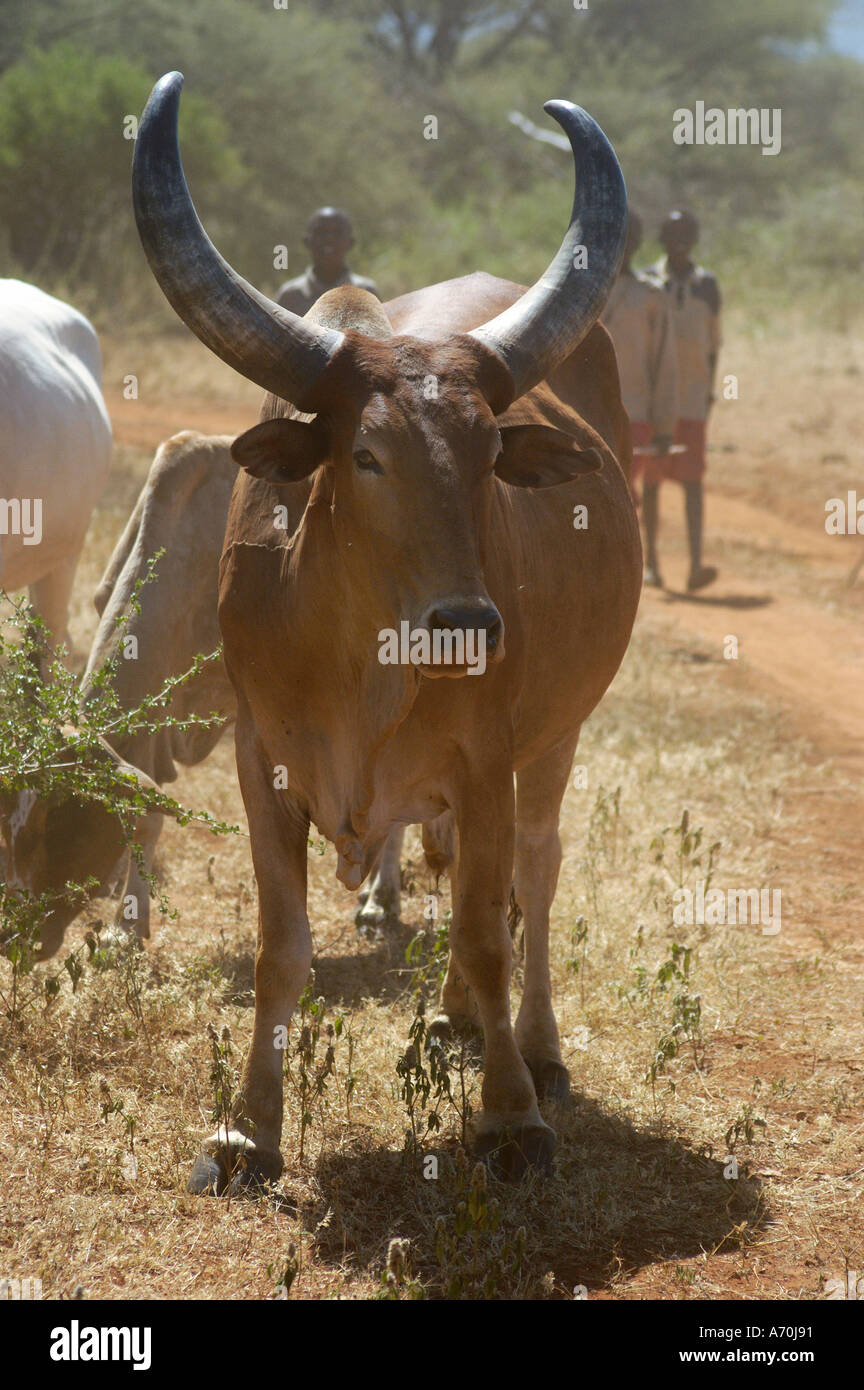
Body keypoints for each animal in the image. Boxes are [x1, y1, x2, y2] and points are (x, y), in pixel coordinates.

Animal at [133, 72, 641, 1187]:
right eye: (364, 455)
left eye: (491, 452)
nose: (468, 625)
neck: (356, 667)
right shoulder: (262, 762)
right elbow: (282, 947)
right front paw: (248, 1131)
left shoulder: (489, 761)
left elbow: (491, 932)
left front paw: (511, 1118)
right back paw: (456, 1021)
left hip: (558, 736)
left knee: (532, 877)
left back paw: (534, 1048)